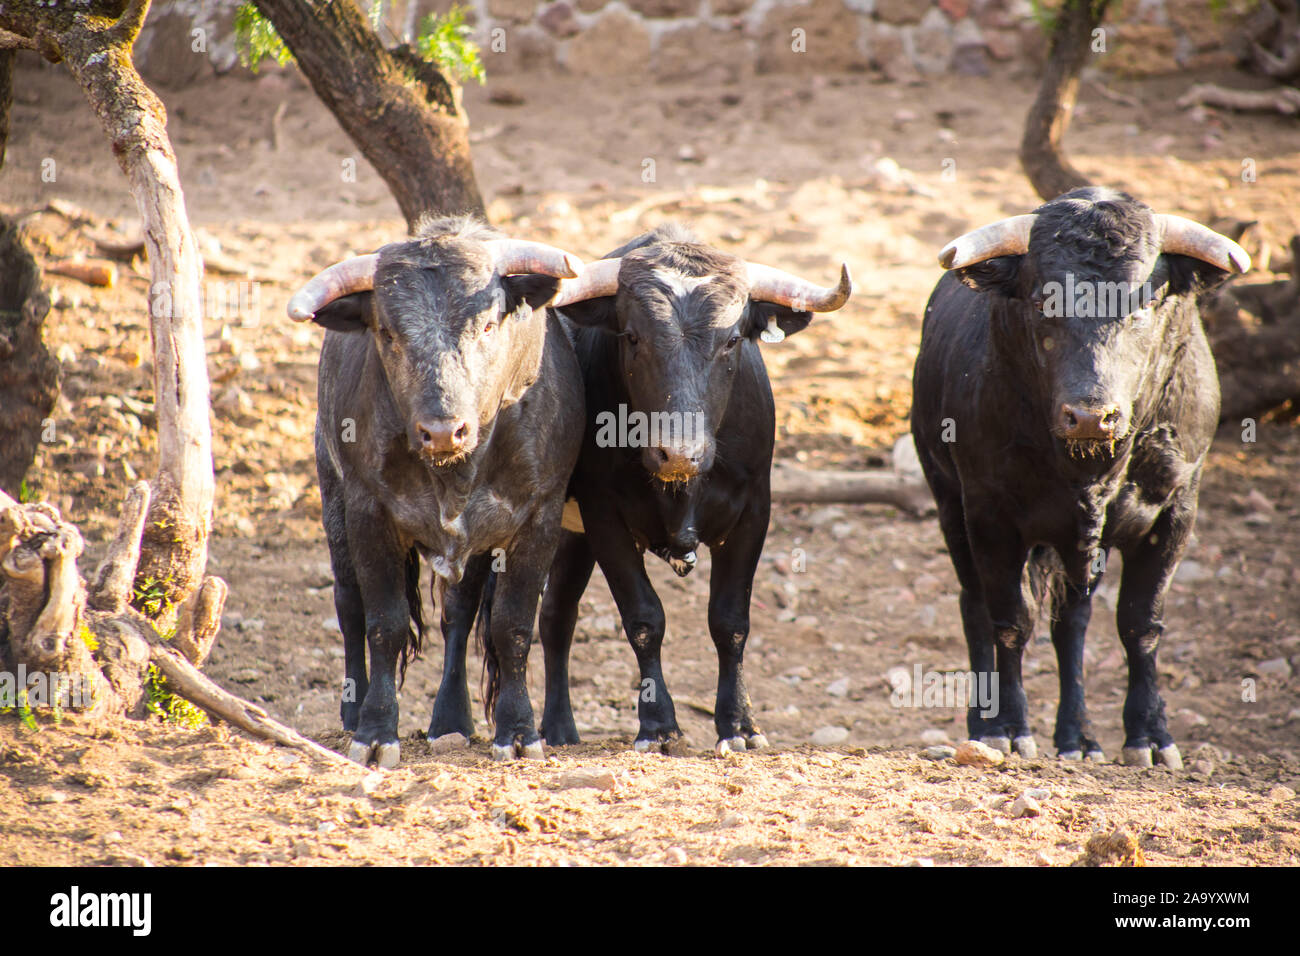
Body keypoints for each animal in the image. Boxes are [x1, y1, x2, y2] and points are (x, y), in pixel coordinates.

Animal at [287, 216, 609, 765]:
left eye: (488, 326)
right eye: (389, 333)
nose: (442, 431)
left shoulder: (538, 518)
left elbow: (512, 626)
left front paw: (518, 732)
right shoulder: (368, 512)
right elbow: (385, 622)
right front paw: (376, 732)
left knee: (459, 614)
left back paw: (451, 720)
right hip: (333, 499)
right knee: (349, 604)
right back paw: (354, 711)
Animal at [534, 224, 853, 754]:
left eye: (732, 341)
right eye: (632, 336)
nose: (680, 453)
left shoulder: (753, 514)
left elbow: (730, 622)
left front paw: (740, 724)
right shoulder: (604, 517)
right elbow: (644, 619)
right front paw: (659, 725)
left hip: (569, 534)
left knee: (556, 614)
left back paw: (559, 729)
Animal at [910, 187, 1249, 768]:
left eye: (1145, 303)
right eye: (1043, 301)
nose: (1091, 415)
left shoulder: (1176, 510)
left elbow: (1140, 622)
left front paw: (1150, 736)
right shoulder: (988, 514)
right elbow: (1010, 620)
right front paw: (1010, 728)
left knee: (1072, 621)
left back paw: (1078, 738)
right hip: (949, 502)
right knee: (975, 606)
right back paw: (984, 724)